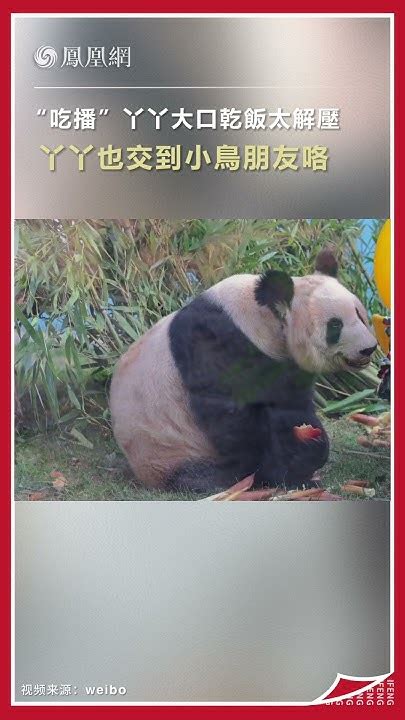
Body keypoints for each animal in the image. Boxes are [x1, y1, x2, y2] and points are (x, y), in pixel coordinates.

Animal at [110, 248, 377, 493]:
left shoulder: (282, 363)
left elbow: (290, 406)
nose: (369, 348)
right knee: (199, 472)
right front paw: (288, 471)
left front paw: (309, 449)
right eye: (335, 326)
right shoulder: (214, 344)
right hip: (167, 449)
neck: (263, 319)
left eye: (359, 313)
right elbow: (233, 417)